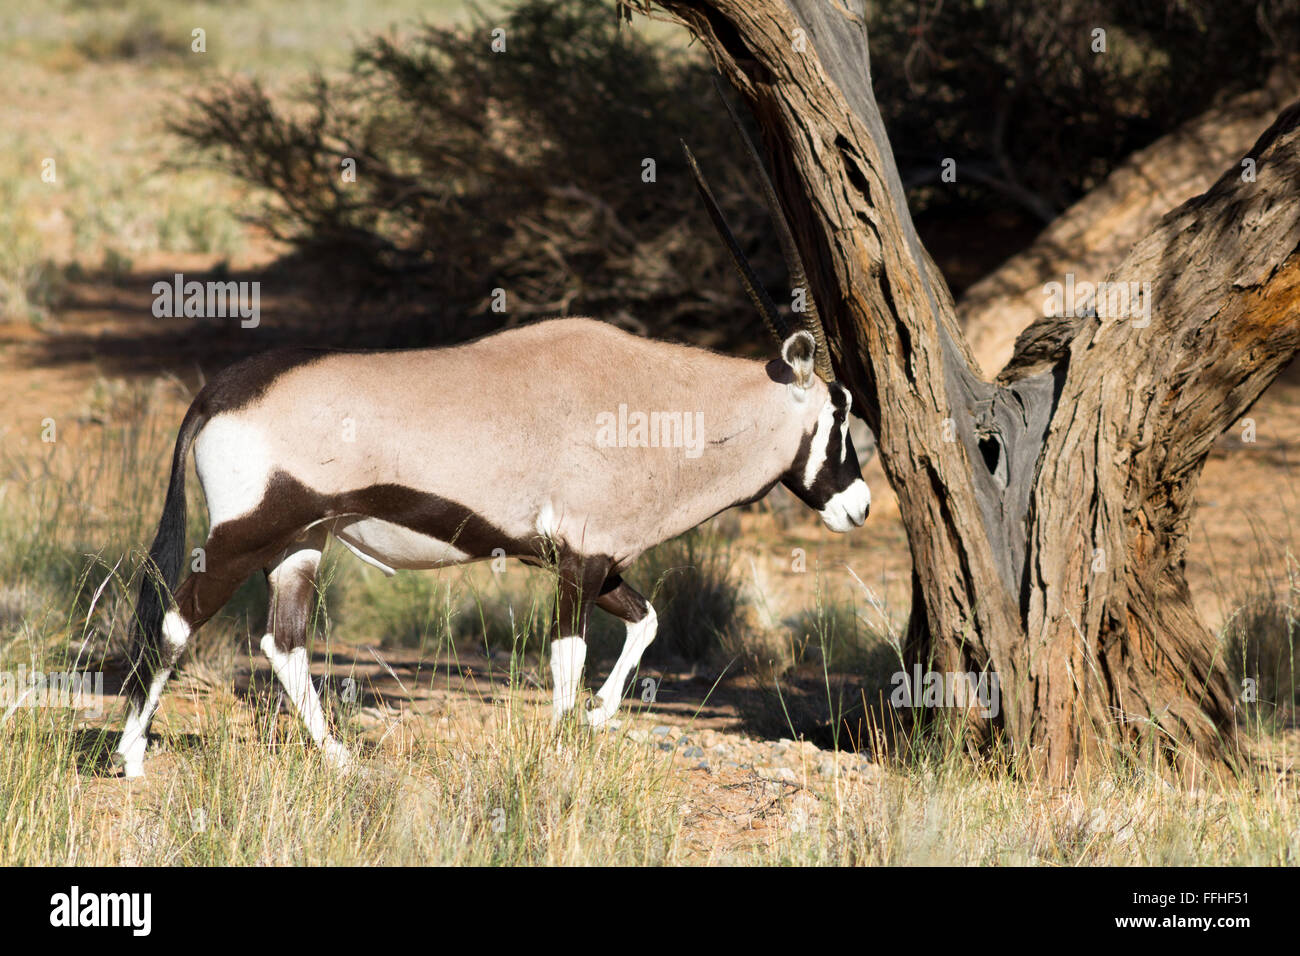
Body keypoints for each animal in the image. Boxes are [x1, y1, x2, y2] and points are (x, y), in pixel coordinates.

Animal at [112, 129, 870, 780]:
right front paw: (563, 748)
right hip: (244, 534)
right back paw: (132, 755)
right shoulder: (580, 561)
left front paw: (596, 719)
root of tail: (218, 392)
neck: (654, 404)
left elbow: (647, 623)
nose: (860, 508)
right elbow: (569, 660)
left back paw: (340, 760)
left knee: (284, 642)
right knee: (179, 621)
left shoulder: (595, 561)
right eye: (839, 413)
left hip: (300, 542)